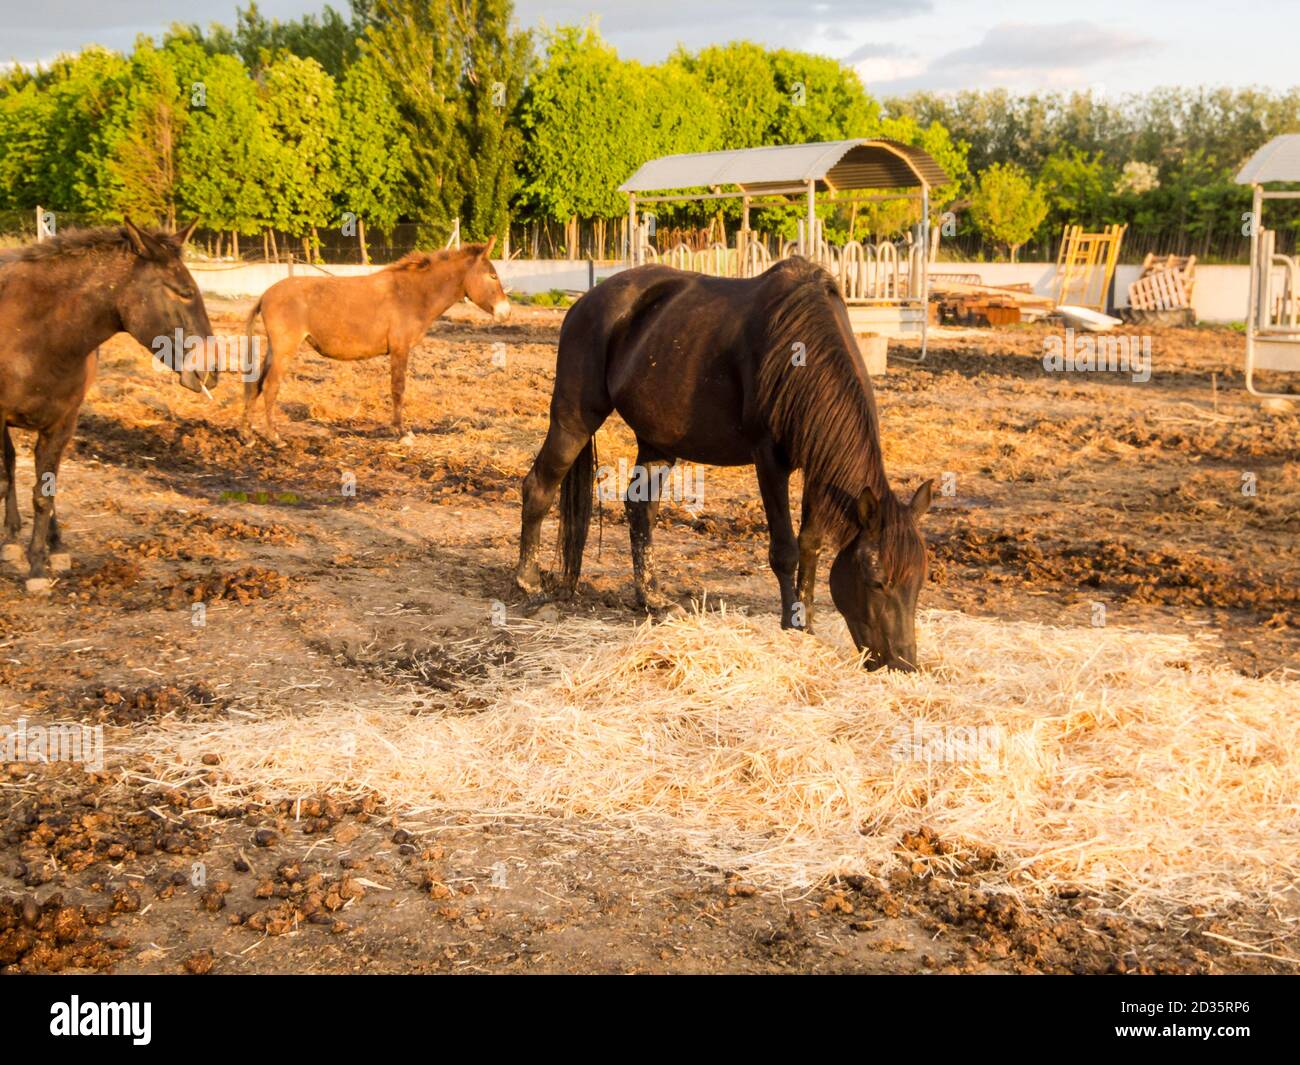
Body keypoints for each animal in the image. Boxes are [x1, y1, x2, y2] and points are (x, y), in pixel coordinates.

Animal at [0, 221, 217, 591]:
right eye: (184, 291)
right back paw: (11, 538)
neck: (34, 336)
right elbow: (7, 476)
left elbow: (44, 494)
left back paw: (53, 544)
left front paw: (39, 563)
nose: (212, 371)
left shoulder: (63, 423)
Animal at [241, 239, 511, 442]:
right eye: (492, 276)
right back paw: (274, 437)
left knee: (256, 384)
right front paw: (401, 432)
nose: (506, 313)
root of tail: (266, 294)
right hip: (285, 348)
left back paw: (247, 435)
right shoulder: (400, 349)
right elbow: (398, 389)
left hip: (275, 349)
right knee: (270, 386)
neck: (412, 294)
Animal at [514, 257, 933, 672]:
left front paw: (807, 624)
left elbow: (810, 545)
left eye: (919, 582)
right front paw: (790, 625)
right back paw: (528, 581)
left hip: (656, 440)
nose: (904, 663)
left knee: (640, 509)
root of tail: (585, 302)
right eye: (876, 580)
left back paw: (653, 599)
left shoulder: (817, 464)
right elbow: (785, 549)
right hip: (574, 419)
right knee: (539, 486)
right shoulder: (769, 460)